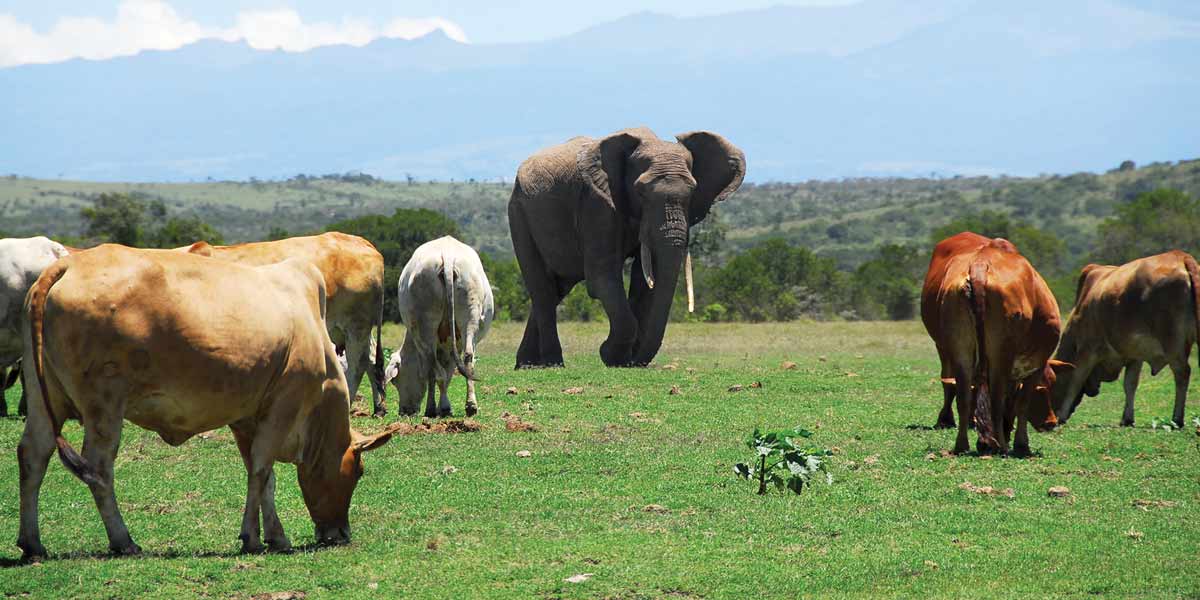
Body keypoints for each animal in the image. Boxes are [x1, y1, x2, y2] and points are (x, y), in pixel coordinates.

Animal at [183, 232, 389, 416]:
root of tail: (361, 242)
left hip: (356, 324)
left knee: (358, 364)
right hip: (352, 328)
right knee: (371, 359)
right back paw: (379, 408)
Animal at [393, 236, 494, 418]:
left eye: (396, 380)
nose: (404, 411)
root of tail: (448, 256)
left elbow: (436, 374)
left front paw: (441, 407)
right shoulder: (454, 345)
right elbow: (449, 373)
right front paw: (445, 406)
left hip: (426, 324)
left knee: (433, 368)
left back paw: (431, 408)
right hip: (469, 315)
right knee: (468, 358)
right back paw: (471, 406)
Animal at [507, 127, 746, 368]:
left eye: (692, 193)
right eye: (640, 192)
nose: (635, 360)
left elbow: (645, 280)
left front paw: (624, 357)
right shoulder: (597, 205)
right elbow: (602, 277)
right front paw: (611, 355)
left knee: (557, 289)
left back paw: (527, 364)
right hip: (518, 212)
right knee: (542, 289)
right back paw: (551, 363)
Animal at [920, 232, 1068, 455]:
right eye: (1045, 388)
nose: (1050, 422)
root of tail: (980, 265)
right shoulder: (1034, 366)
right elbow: (1020, 403)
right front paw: (1020, 444)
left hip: (960, 351)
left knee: (963, 395)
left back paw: (964, 444)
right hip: (1000, 355)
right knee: (996, 398)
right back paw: (1001, 445)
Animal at [1052, 250, 1200, 428]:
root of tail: (1182, 257)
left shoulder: (1088, 349)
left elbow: (1075, 381)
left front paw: (1061, 414)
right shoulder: (1135, 355)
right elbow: (1130, 384)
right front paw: (1127, 418)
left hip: (1172, 343)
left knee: (1182, 373)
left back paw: (1177, 418)